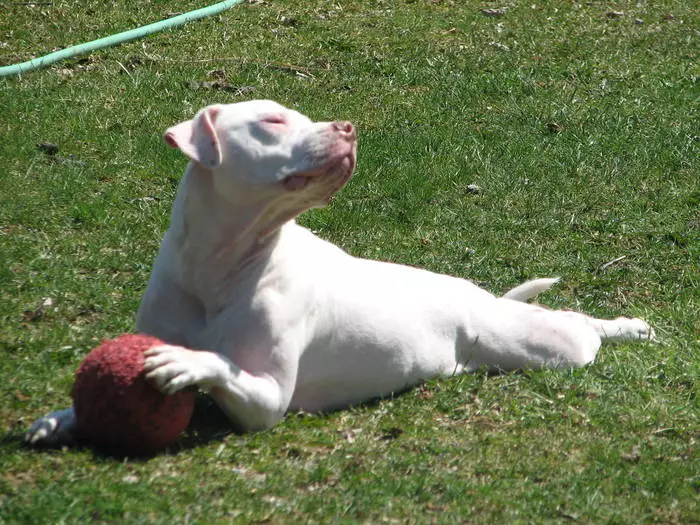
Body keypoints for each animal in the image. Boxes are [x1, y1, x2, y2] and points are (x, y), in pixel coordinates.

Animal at [24, 98, 652, 442]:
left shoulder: (268, 400)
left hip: (541, 346)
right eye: (273, 120)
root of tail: (478, 296)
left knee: (580, 327)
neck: (219, 265)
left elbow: (223, 366)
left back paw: (626, 327)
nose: (347, 128)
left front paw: (187, 362)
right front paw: (61, 416)